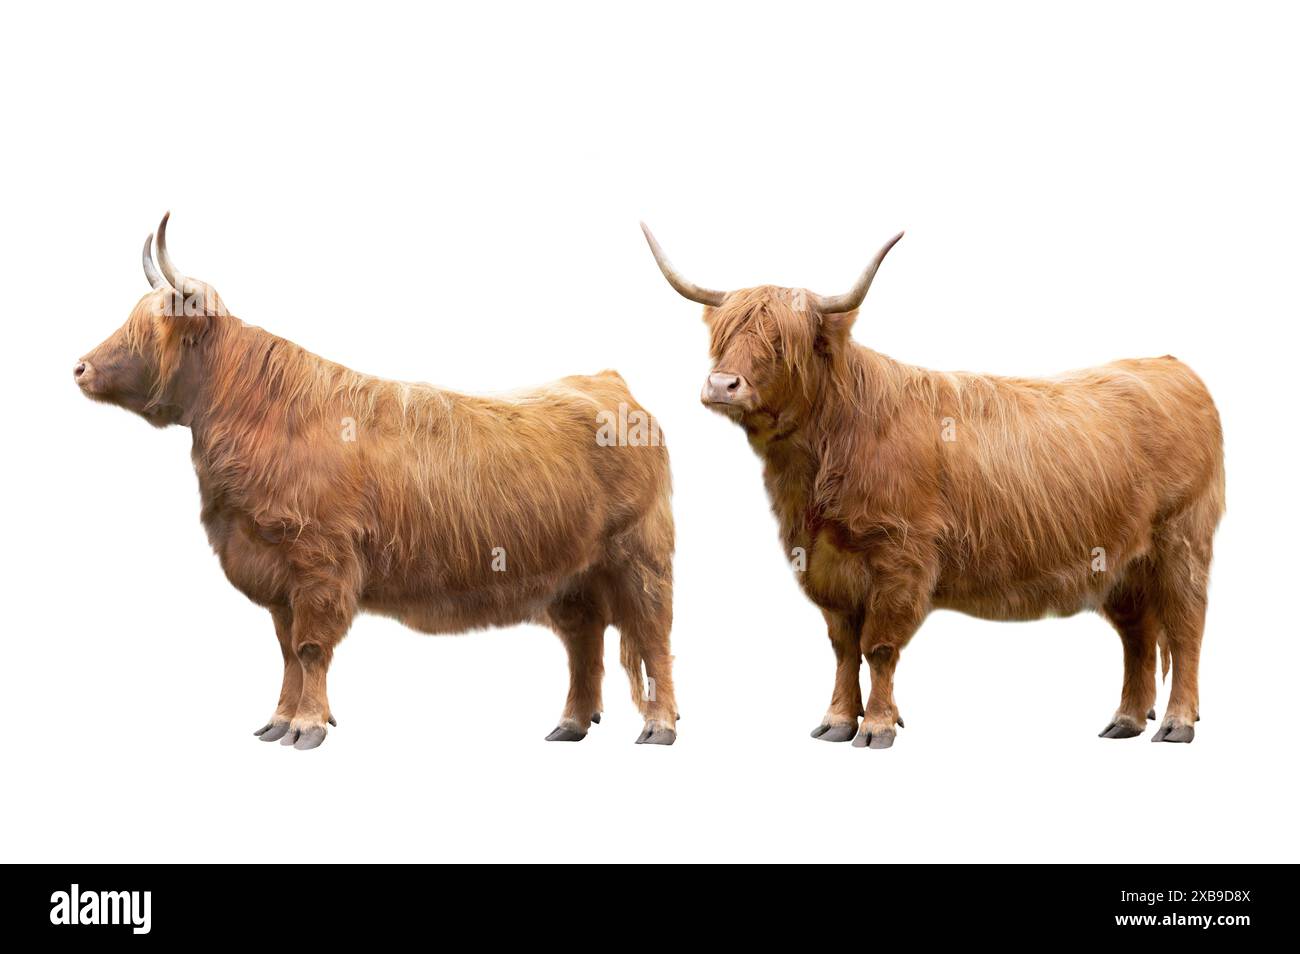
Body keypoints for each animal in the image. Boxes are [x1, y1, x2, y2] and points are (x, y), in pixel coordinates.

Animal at [75, 214, 678, 749]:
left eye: (150, 328)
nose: (80, 367)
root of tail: (607, 382)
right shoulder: (276, 572)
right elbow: (287, 651)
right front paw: (278, 720)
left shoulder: (320, 563)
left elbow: (310, 649)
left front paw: (307, 727)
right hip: (574, 573)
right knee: (584, 639)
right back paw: (571, 723)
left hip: (639, 557)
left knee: (652, 636)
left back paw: (660, 727)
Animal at [642, 224, 1223, 747]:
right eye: (722, 336)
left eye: (783, 343)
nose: (722, 385)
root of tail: (1170, 366)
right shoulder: (825, 565)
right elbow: (843, 647)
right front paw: (837, 721)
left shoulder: (901, 558)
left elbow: (878, 647)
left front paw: (876, 726)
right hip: (1123, 562)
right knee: (1138, 635)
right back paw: (1126, 720)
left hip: (1182, 542)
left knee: (1186, 628)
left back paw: (1176, 723)